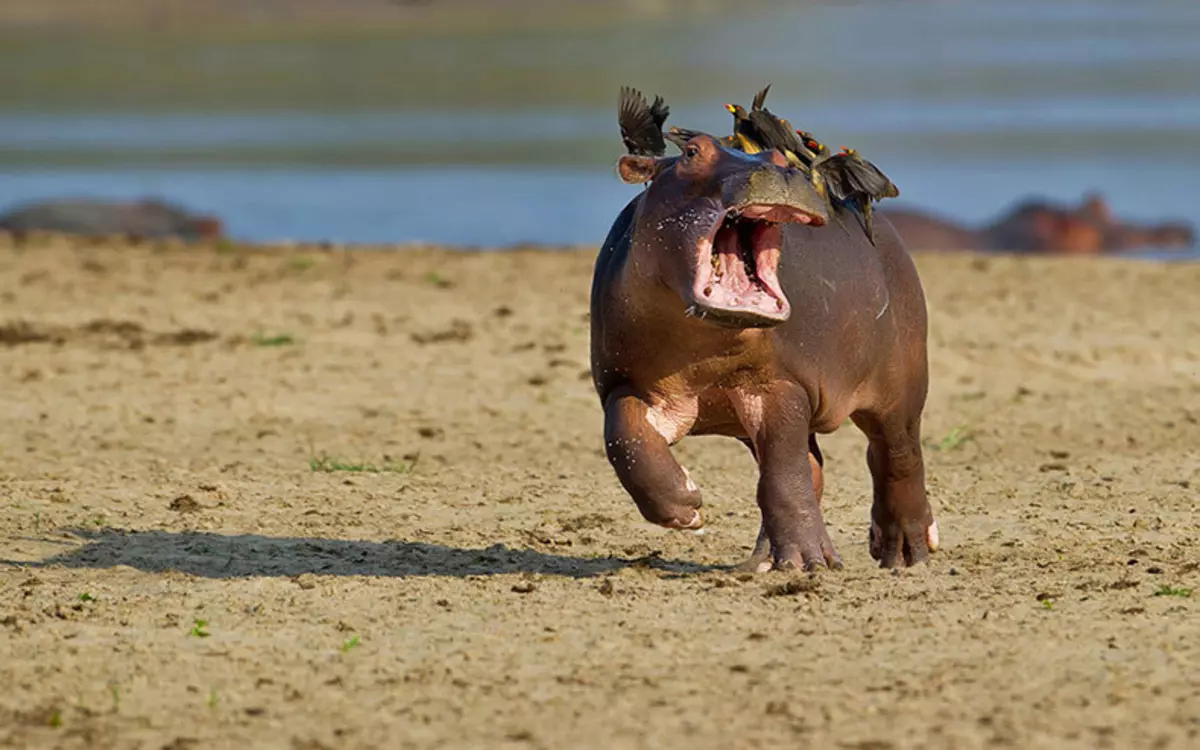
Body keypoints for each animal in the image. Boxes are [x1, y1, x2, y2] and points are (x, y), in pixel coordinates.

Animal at [590, 133, 936, 566]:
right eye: (691, 151)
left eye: (778, 157)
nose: (778, 171)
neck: (703, 345)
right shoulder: (625, 383)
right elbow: (626, 439)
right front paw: (687, 507)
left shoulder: (781, 385)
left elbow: (785, 473)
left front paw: (810, 562)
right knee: (814, 467)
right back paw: (763, 561)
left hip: (901, 386)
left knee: (895, 456)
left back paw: (905, 553)